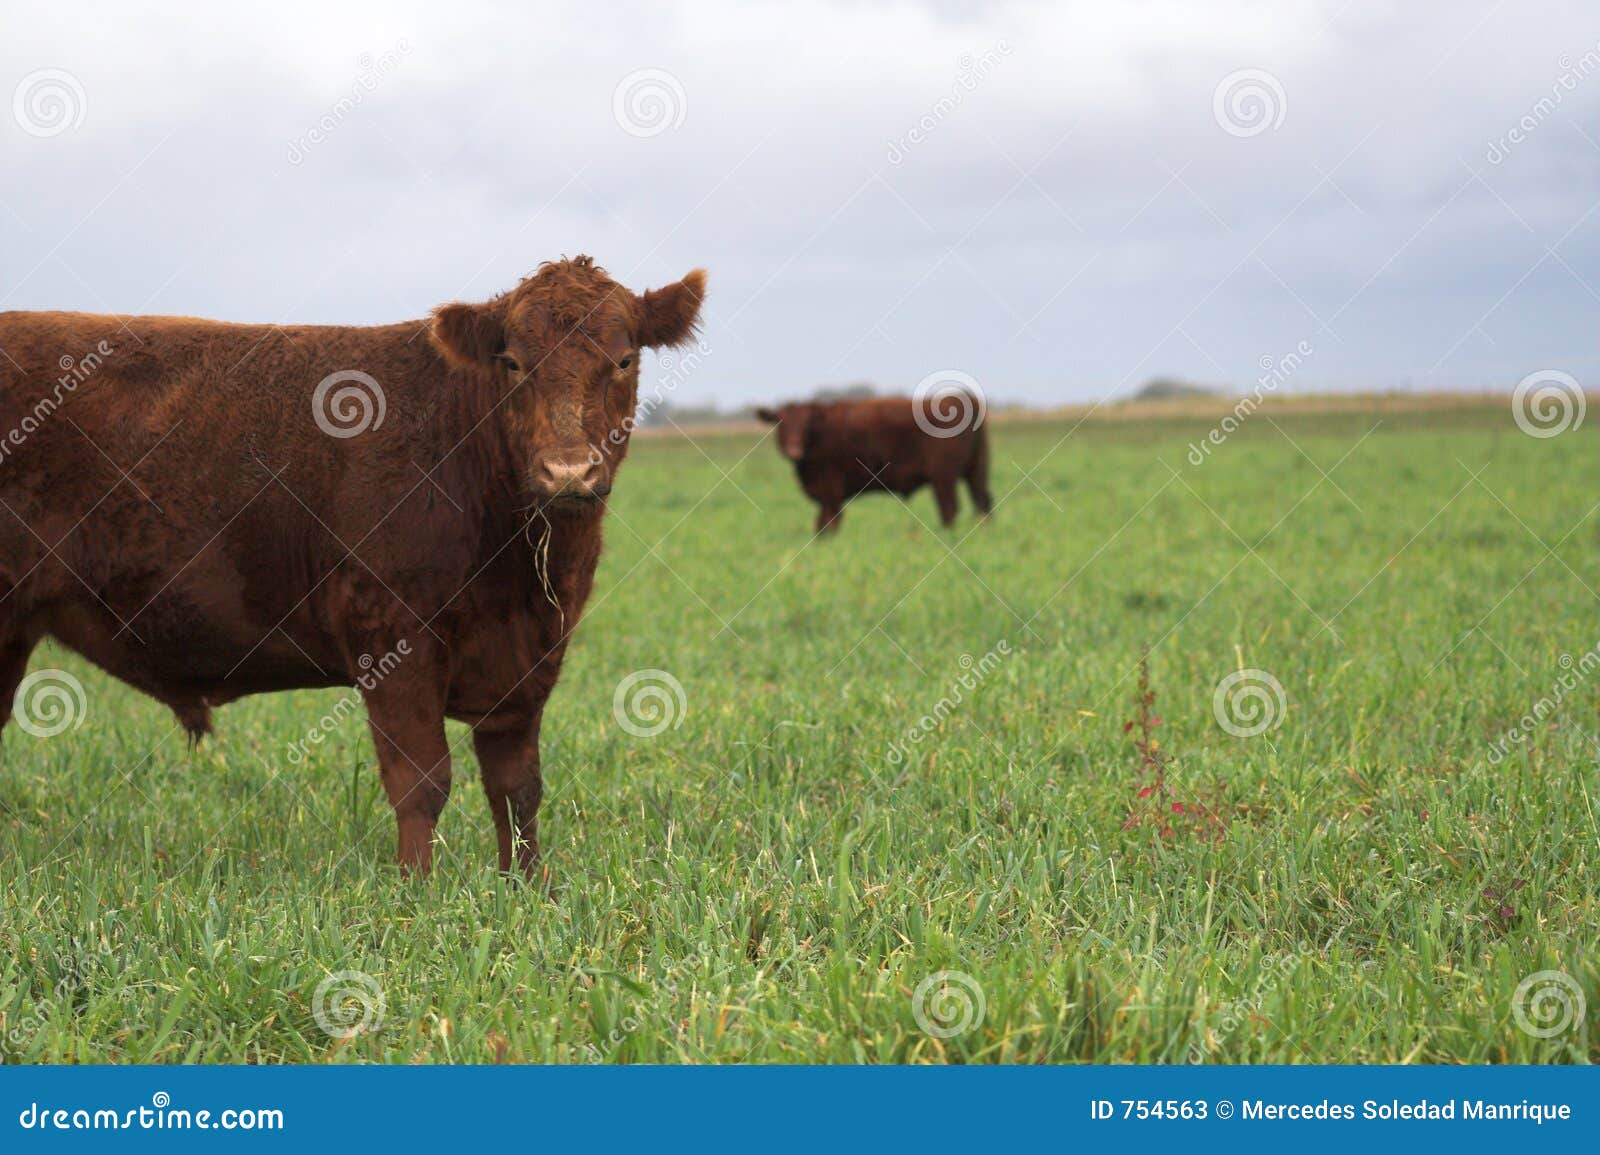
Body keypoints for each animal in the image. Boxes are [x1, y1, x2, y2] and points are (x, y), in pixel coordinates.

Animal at [0, 256, 706, 876]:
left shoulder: (527, 662)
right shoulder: (392, 636)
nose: (567, 471)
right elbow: (422, 781)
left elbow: (517, 787)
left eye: (623, 359)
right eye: (513, 362)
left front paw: (528, 889)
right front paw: (419, 892)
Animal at [753, 394, 992, 534]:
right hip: (975, 471)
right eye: (780, 423)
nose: (794, 449)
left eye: (807, 424)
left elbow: (828, 522)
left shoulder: (831, 489)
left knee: (950, 508)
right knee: (982, 502)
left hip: (943, 477)